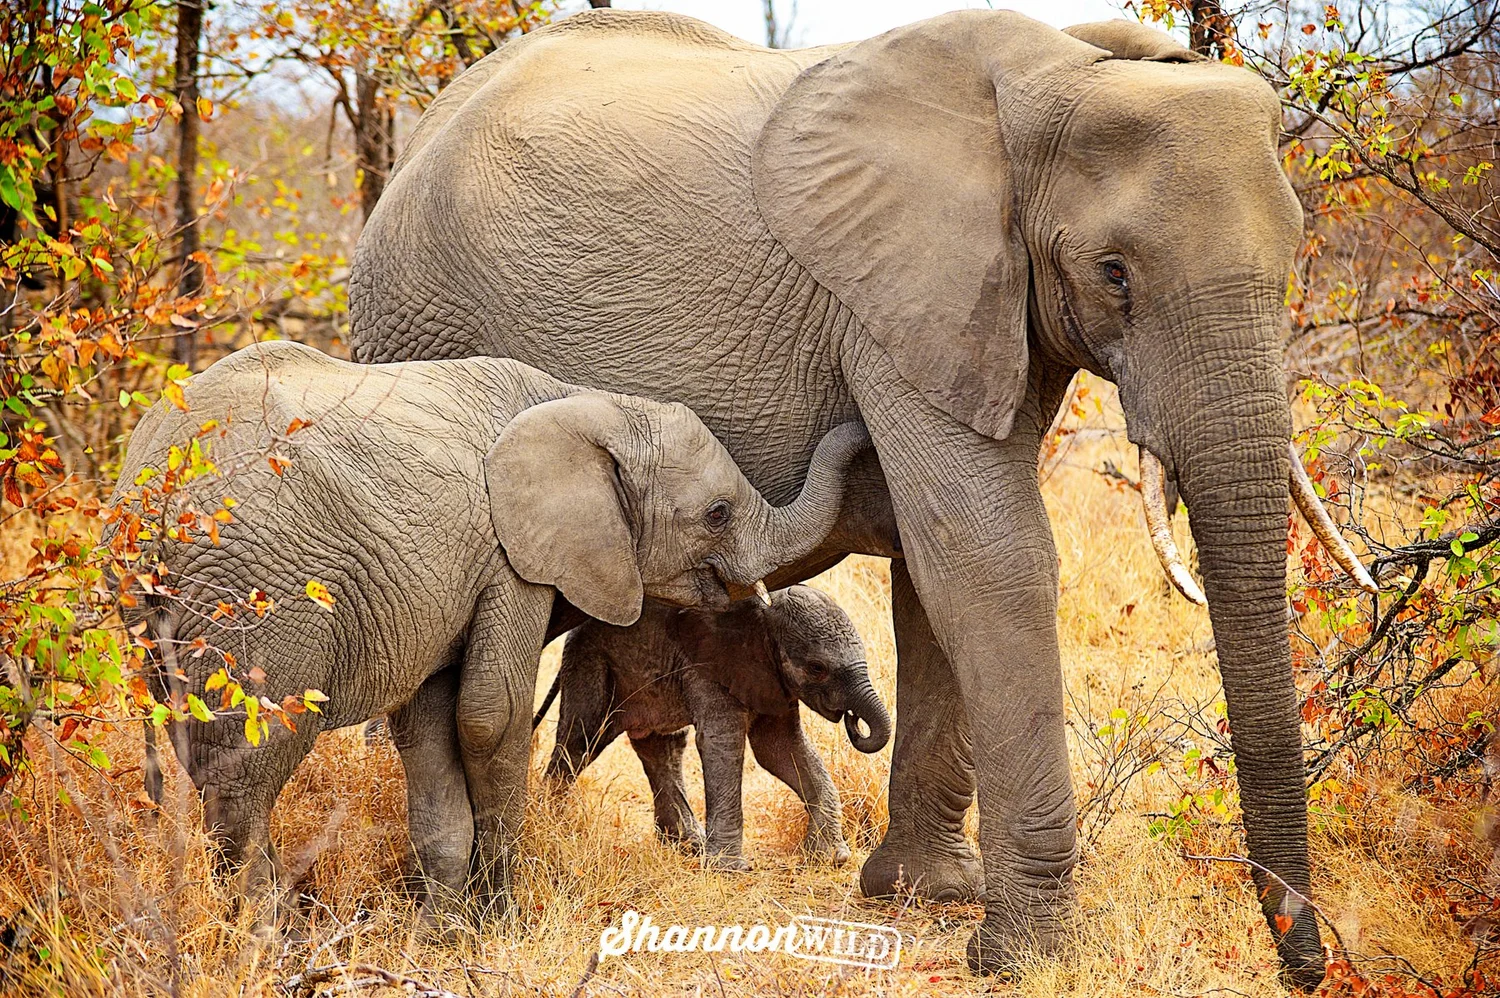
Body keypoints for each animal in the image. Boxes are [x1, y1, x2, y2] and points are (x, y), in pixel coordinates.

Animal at [535, 584, 891, 870]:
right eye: (817, 668)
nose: (852, 719)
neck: (762, 613)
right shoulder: (707, 666)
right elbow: (725, 742)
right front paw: (729, 868)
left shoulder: (771, 679)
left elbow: (778, 749)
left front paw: (830, 858)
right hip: (591, 661)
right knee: (581, 740)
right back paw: (553, 824)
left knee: (661, 745)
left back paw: (687, 844)